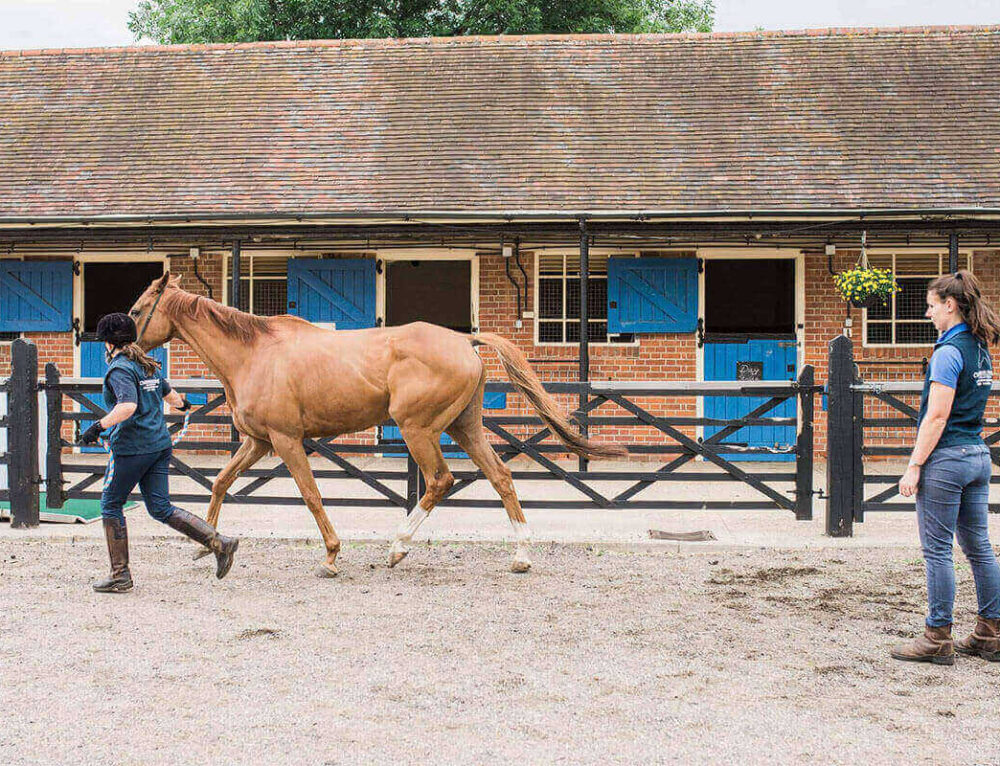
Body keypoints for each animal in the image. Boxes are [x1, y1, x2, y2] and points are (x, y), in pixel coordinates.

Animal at [129, 272, 625, 576]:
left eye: (135, 312)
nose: (126, 352)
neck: (254, 354)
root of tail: (464, 340)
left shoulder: (286, 441)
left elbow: (311, 495)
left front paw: (331, 557)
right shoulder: (258, 442)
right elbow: (219, 483)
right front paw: (205, 545)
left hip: (417, 428)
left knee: (440, 480)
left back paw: (398, 547)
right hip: (465, 427)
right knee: (501, 476)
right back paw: (520, 555)